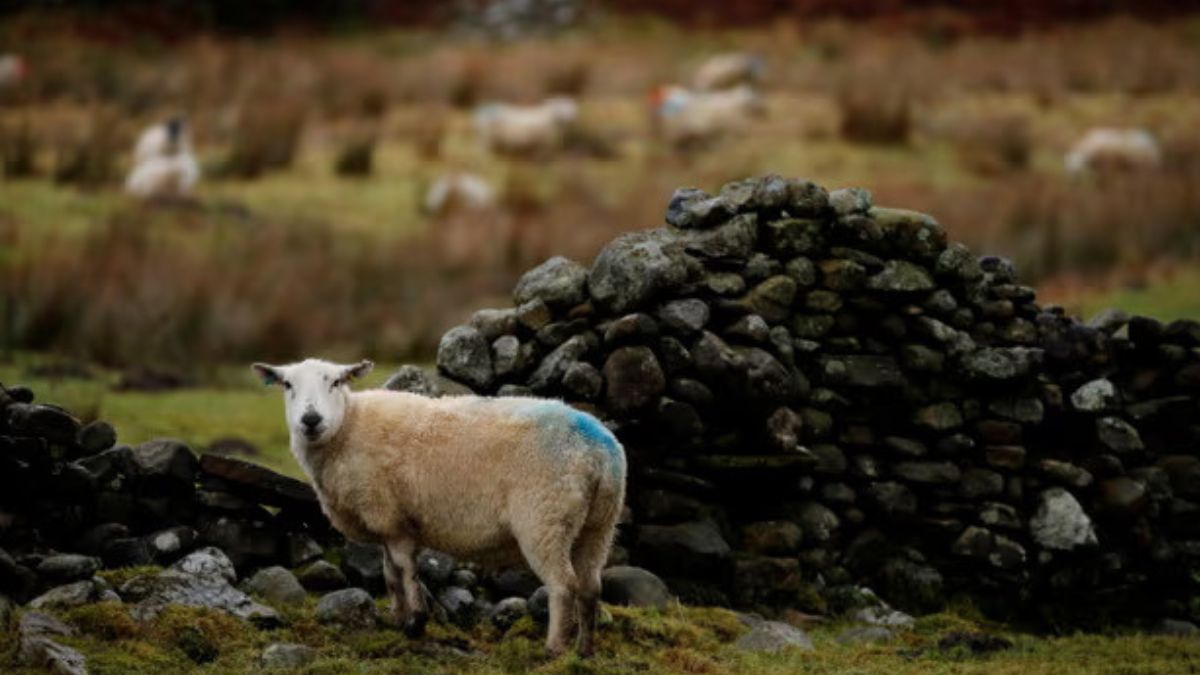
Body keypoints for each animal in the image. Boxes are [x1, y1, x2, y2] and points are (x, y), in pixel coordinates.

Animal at [251, 358, 627, 656]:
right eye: (288, 385)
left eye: (336, 381)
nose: (311, 420)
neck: (349, 427)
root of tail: (599, 449)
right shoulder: (387, 524)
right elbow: (389, 575)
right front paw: (399, 618)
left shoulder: (391, 518)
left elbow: (405, 571)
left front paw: (416, 622)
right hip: (599, 524)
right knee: (590, 587)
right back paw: (584, 651)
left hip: (545, 518)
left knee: (563, 585)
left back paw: (554, 649)